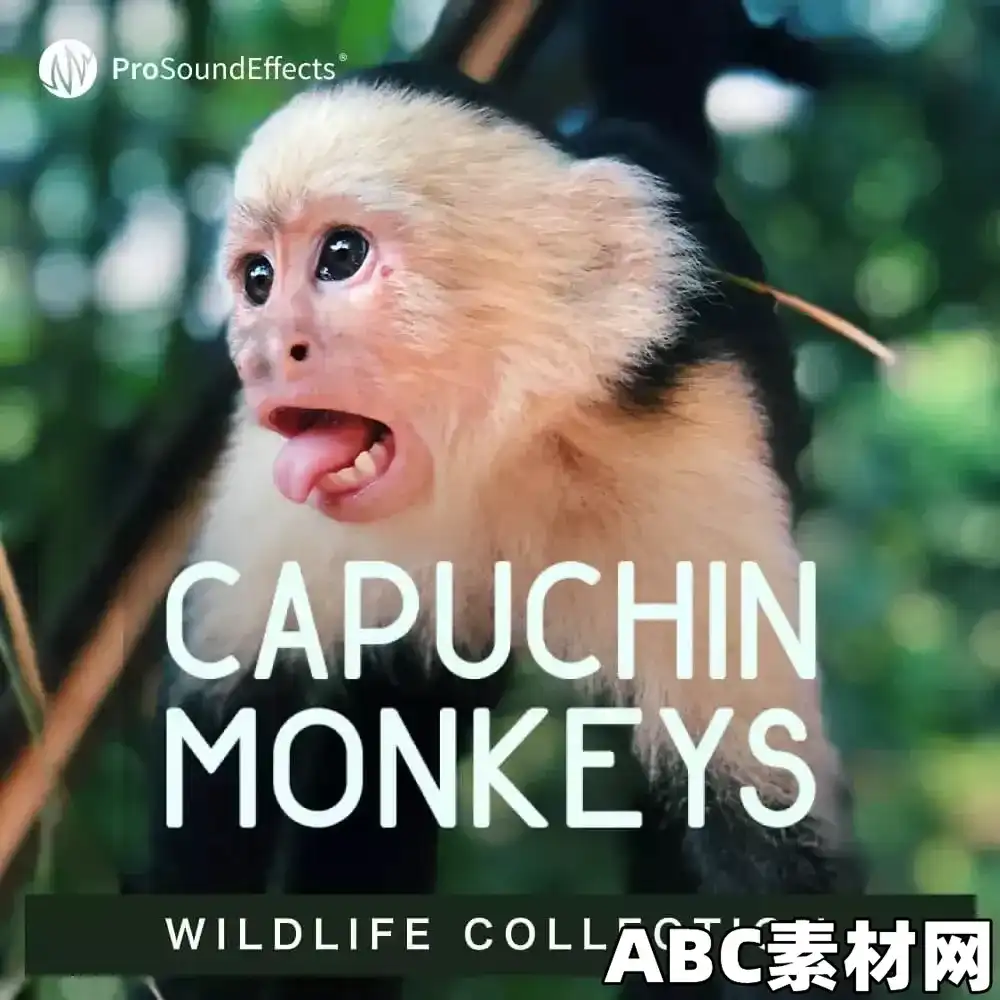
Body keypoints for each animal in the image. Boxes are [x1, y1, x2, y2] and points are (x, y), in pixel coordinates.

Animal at [133, 2, 865, 999]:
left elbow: (761, 817)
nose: (259, 350)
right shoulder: (270, 474)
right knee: (385, 738)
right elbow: (226, 733)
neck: (491, 446)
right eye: (256, 279)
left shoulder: (688, 438)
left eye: (341, 256)